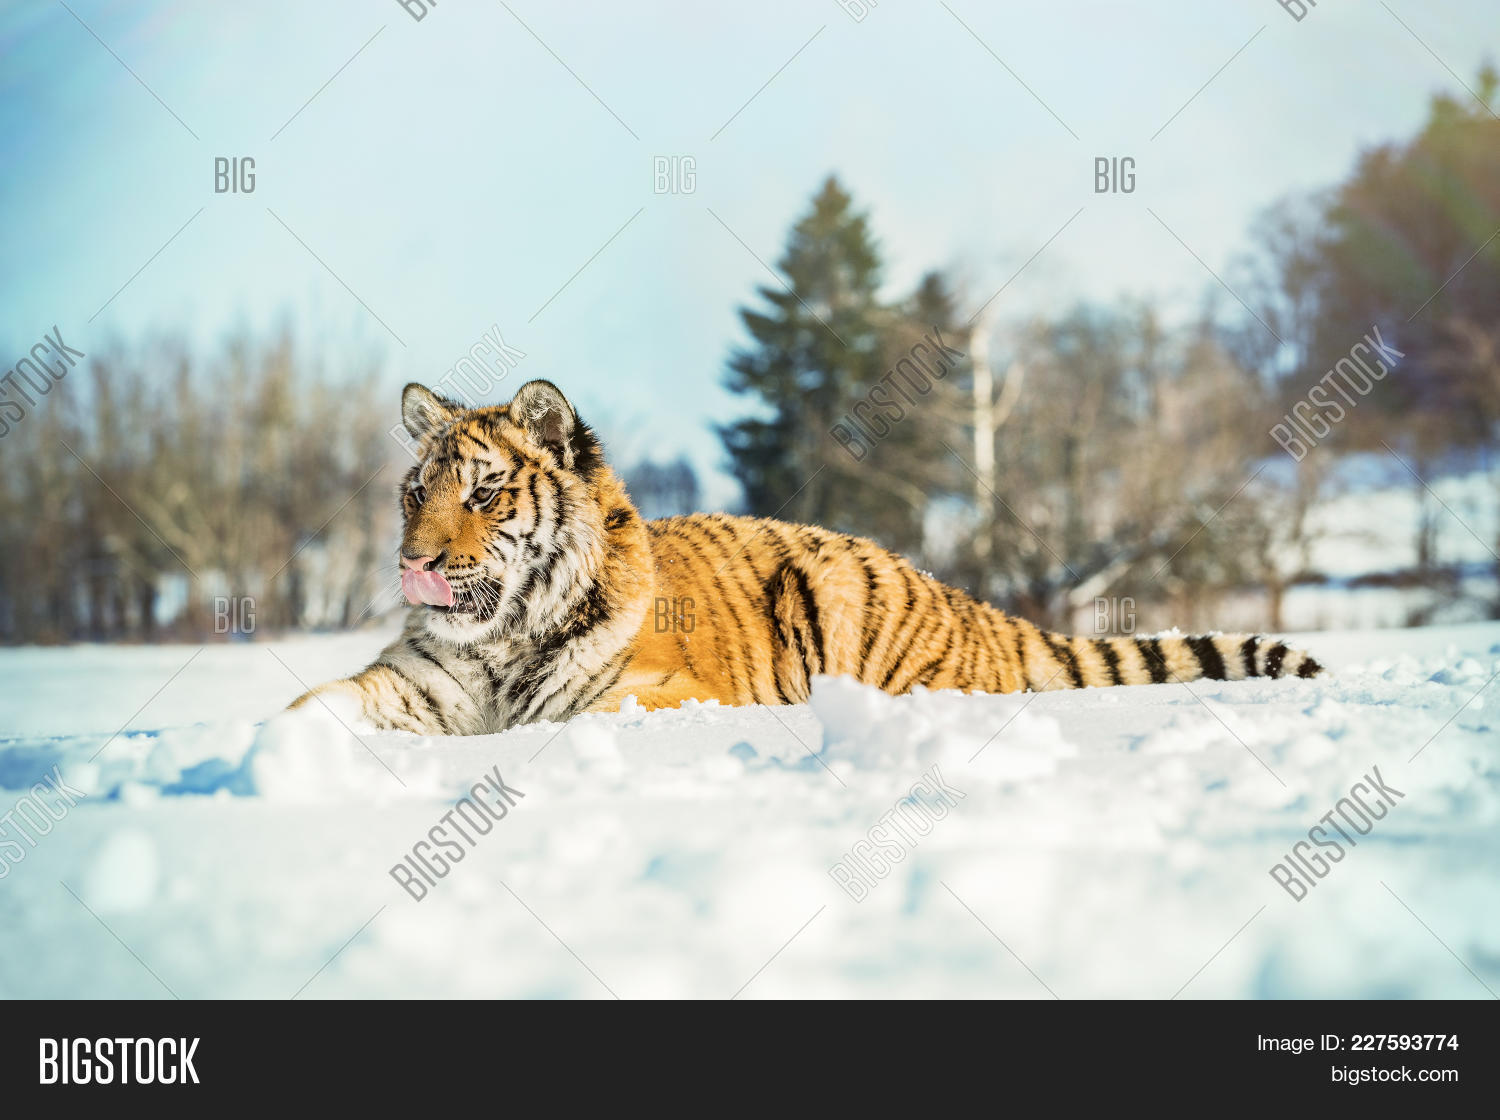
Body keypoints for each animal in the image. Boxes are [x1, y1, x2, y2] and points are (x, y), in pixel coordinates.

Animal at [287, 379, 1323, 734]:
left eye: (484, 493)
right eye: (415, 492)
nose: (413, 561)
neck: (503, 642)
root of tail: (976, 605)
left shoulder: (657, 692)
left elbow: (565, 719)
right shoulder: (417, 681)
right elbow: (324, 700)